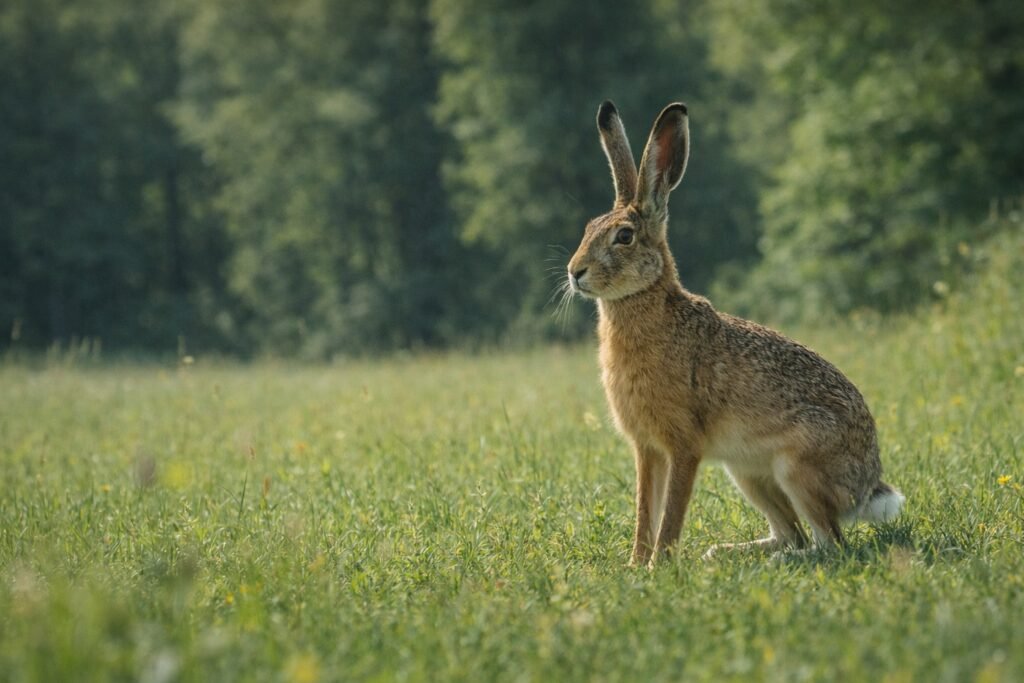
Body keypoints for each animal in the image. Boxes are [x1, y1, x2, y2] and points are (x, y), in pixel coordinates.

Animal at [567, 101, 904, 566]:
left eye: (624, 236)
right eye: (587, 228)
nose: (575, 272)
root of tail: (867, 484)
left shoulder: (684, 446)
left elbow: (670, 513)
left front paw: (657, 566)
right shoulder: (647, 448)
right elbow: (644, 511)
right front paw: (635, 563)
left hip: (797, 468)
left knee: (828, 543)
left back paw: (773, 562)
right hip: (745, 472)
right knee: (791, 533)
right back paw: (723, 554)